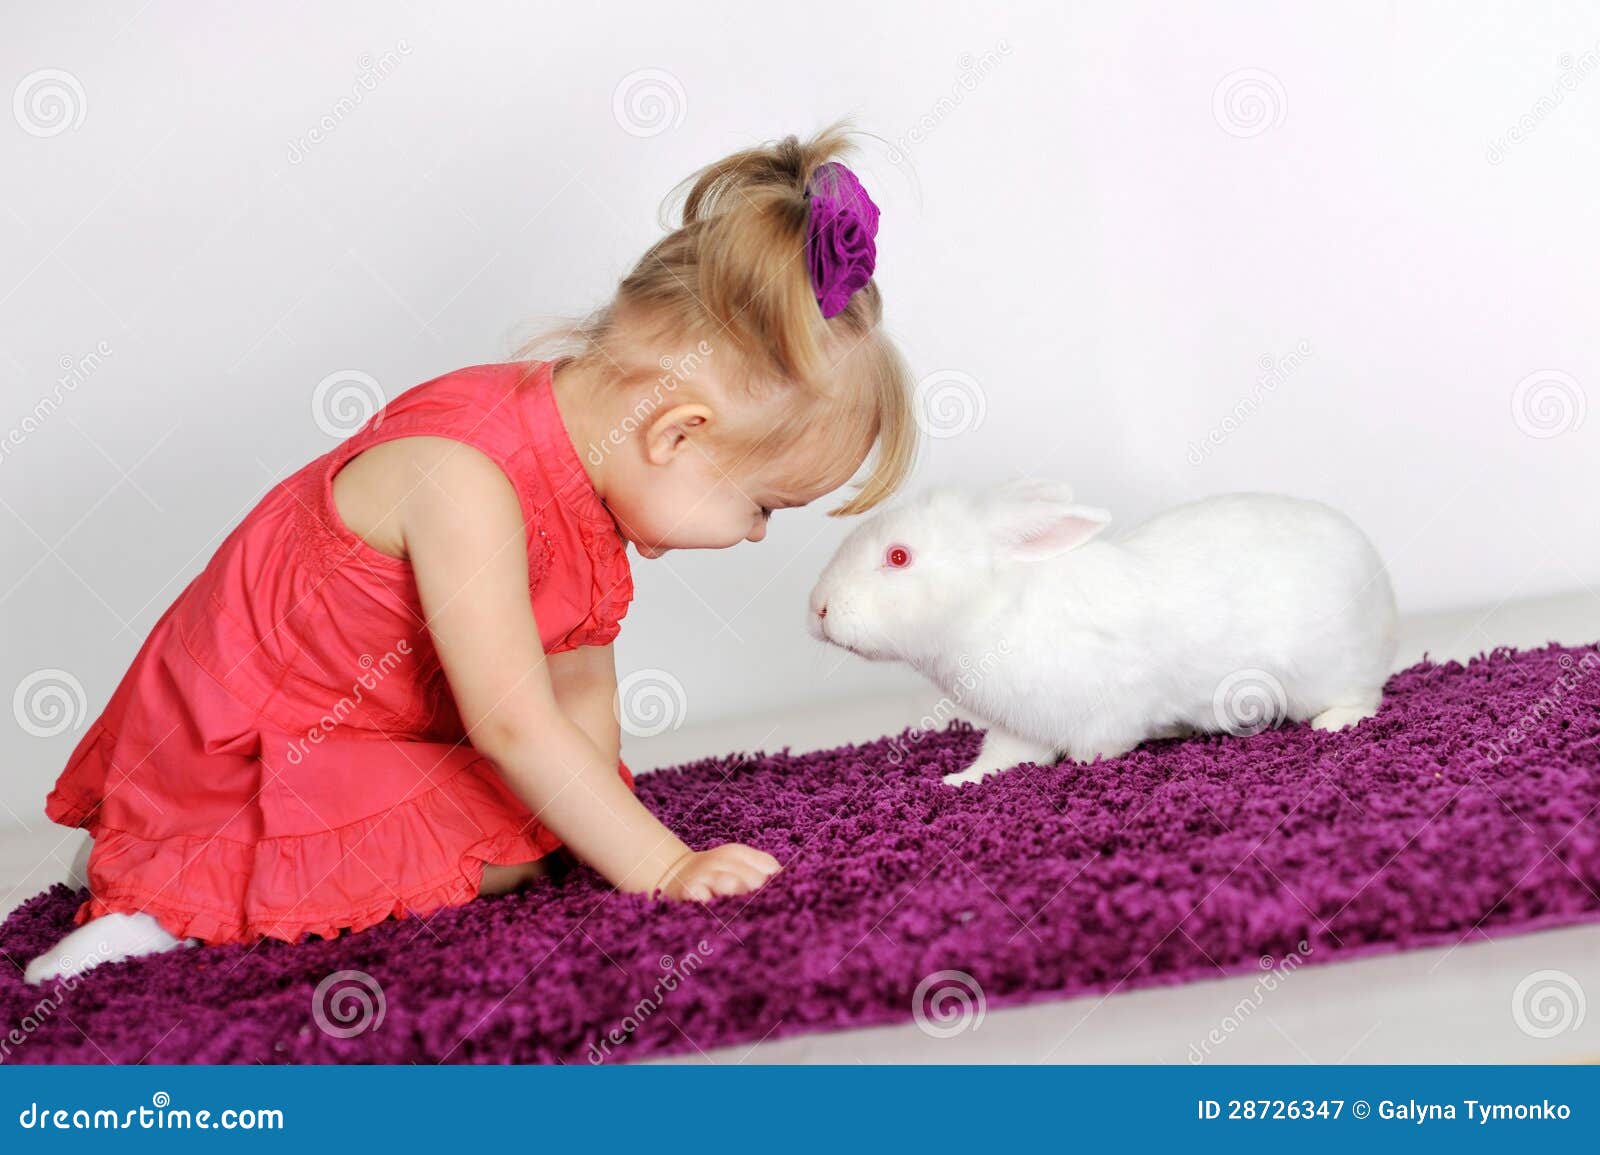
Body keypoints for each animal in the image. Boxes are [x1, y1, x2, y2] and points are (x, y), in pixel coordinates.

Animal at [807, 480, 1398, 786]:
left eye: (899, 557)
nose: (819, 609)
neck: (994, 607)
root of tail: (1380, 584)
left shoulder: (1112, 702)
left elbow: (1101, 743)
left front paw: (1087, 763)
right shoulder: (1018, 724)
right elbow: (1001, 757)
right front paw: (959, 781)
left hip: (1327, 669)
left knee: (1364, 696)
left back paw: (1332, 723)